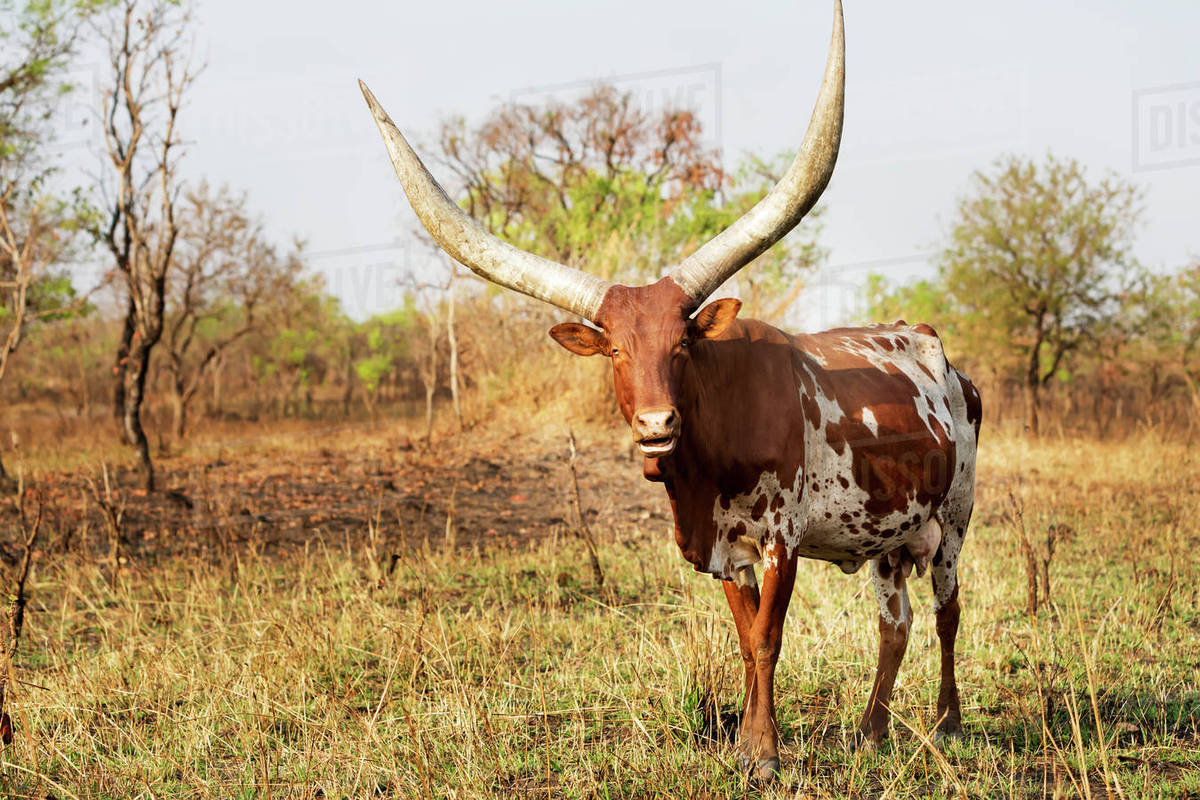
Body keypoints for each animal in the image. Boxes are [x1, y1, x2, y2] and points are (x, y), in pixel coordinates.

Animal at [359, 0, 980, 783]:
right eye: (616, 350)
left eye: (682, 345)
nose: (656, 424)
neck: (706, 464)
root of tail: (933, 345)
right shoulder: (725, 549)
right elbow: (746, 642)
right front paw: (749, 744)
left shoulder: (779, 537)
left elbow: (769, 640)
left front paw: (765, 756)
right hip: (889, 536)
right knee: (894, 622)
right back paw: (870, 732)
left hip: (955, 517)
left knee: (948, 610)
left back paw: (947, 724)